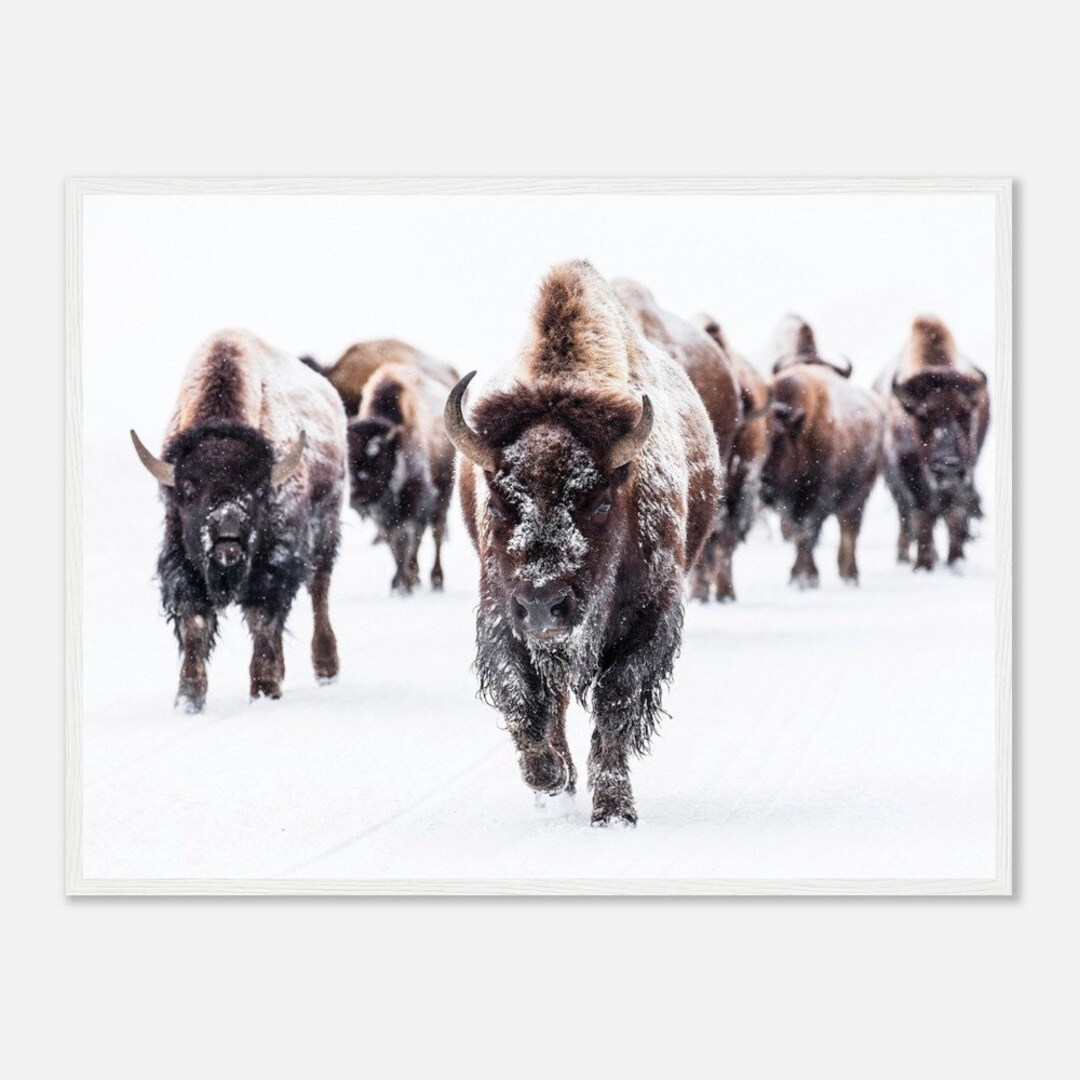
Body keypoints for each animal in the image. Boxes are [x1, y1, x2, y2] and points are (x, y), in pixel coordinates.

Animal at [131, 329, 346, 711]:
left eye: (259, 488)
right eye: (188, 489)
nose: (227, 536)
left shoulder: (273, 565)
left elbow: (262, 620)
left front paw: (263, 689)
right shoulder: (182, 563)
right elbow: (194, 624)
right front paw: (188, 699)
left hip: (326, 531)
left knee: (319, 591)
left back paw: (326, 669)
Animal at [445, 261, 722, 826]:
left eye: (598, 502)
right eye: (498, 503)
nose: (544, 606)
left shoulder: (651, 620)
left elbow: (616, 704)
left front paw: (614, 810)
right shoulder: (501, 615)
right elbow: (523, 697)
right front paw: (550, 777)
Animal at [875, 317, 990, 569]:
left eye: (965, 413)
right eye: (922, 416)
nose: (948, 466)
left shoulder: (965, 473)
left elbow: (955, 515)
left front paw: (956, 560)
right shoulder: (910, 478)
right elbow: (922, 518)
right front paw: (923, 564)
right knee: (907, 517)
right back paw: (905, 556)